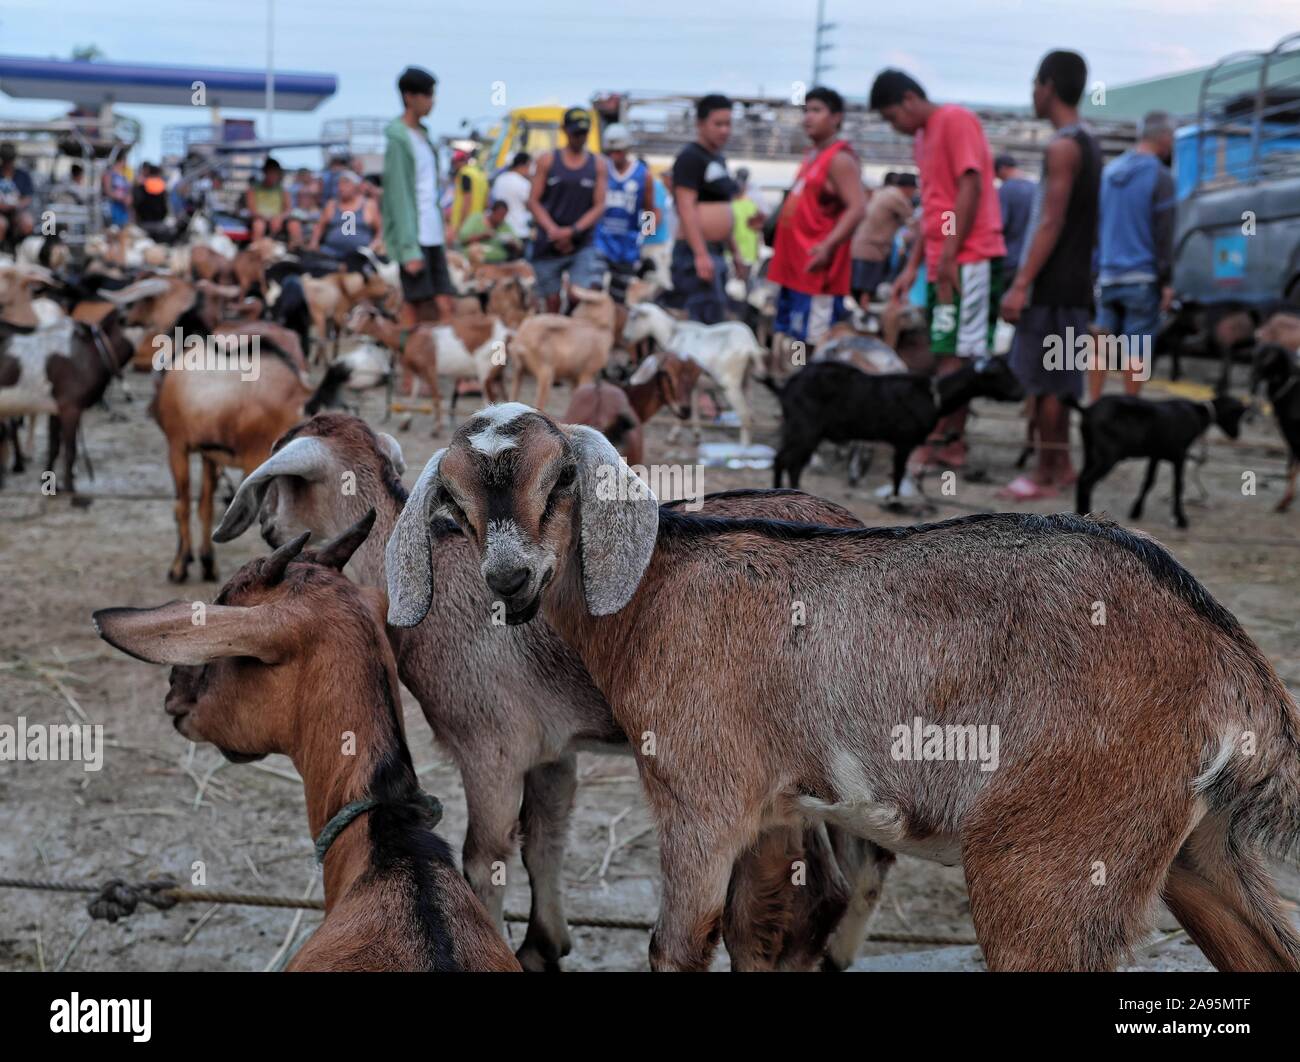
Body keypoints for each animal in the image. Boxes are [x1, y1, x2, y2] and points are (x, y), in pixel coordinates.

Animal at [151, 309, 349, 582]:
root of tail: (304, 396)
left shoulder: (177, 445)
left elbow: (182, 505)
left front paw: (179, 568)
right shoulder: (209, 454)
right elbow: (204, 506)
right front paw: (207, 563)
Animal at [215, 411, 893, 971]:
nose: (262, 524)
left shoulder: (489, 745)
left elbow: (485, 857)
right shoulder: (552, 748)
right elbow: (545, 839)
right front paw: (544, 944)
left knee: (814, 896)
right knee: (861, 868)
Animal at [622, 302, 766, 447]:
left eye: (633, 317)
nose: (625, 337)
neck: (672, 334)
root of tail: (750, 347)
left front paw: (673, 435)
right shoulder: (694, 383)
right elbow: (694, 406)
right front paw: (697, 434)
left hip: (729, 384)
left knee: (745, 416)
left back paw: (743, 448)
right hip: (747, 383)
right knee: (750, 414)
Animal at [764, 358, 1024, 494]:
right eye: (998, 374)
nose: (1020, 393)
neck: (934, 395)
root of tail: (785, 388)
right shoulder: (904, 442)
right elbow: (898, 473)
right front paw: (895, 500)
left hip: (800, 432)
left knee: (790, 463)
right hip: (804, 430)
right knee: (784, 460)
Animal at [1074, 393, 1247, 528]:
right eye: (1236, 414)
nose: (1236, 434)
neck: (1198, 414)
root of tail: (1087, 410)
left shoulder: (1156, 455)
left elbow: (1148, 481)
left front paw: (1136, 511)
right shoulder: (1179, 455)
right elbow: (1178, 485)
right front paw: (1181, 519)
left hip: (1089, 450)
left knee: (1081, 478)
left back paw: (1079, 514)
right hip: (1108, 455)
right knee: (1087, 482)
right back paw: (1086, 515)